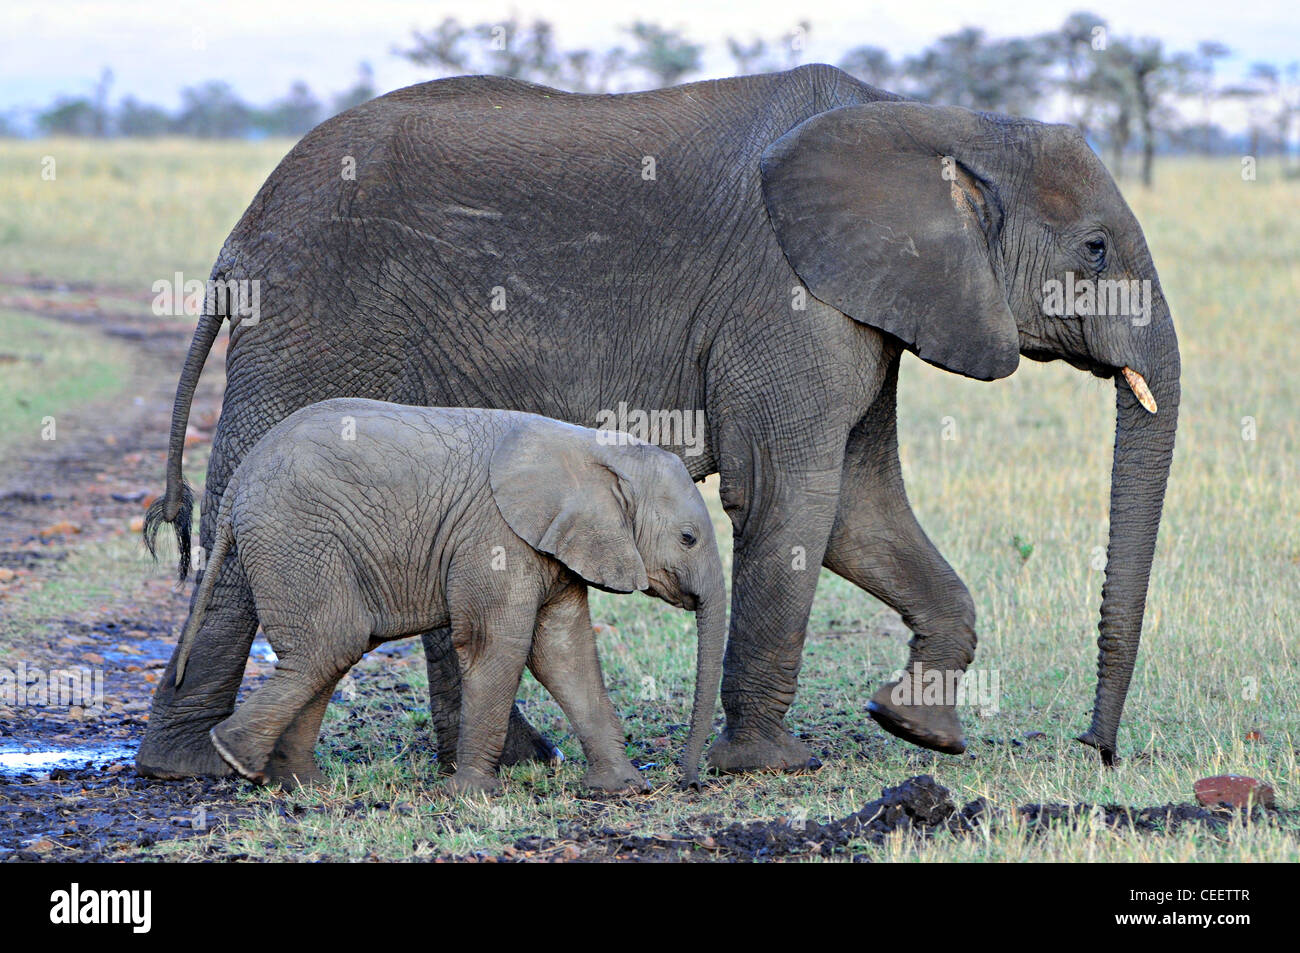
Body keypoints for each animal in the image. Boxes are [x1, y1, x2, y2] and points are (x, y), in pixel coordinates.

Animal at [176, 399, 726, 794]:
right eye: (688, 539)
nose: (690, 781)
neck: (594, 449)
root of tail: (238, 482)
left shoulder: (556, 542)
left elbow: (564, 654)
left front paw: (622, 789)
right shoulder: (496, 537)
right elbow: (496, 645)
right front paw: (471, 795)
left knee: (328, 651)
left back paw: (301, 785)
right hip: (296, 536)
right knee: (331, 643)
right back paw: (235, 759)